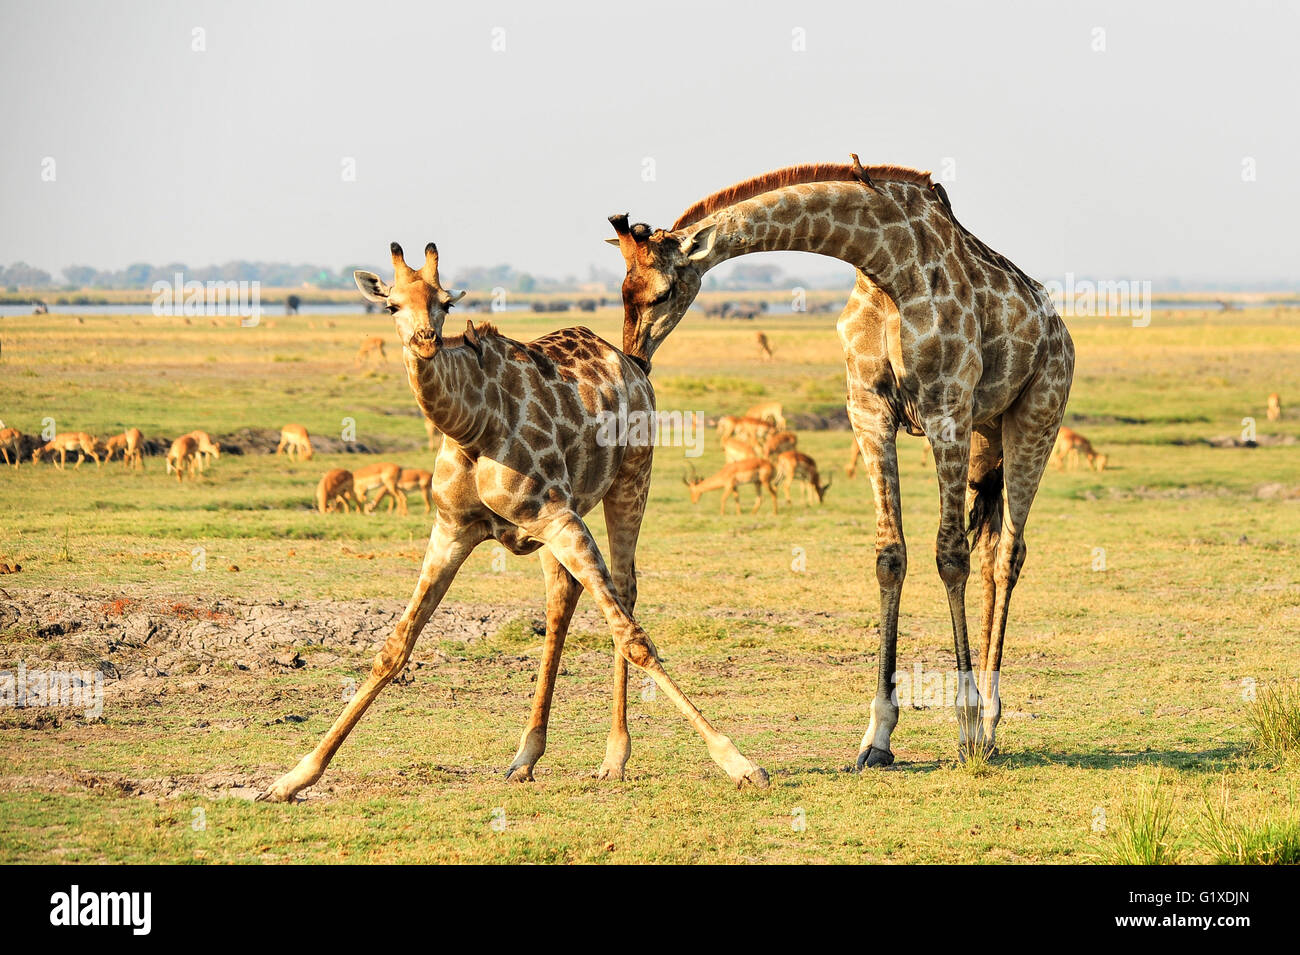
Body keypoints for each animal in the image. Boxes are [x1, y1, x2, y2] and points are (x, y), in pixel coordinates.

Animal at [259, 242, 767, 802]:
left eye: (444, 302)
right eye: (391, 305)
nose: (425, 340)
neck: (470, 426)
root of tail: (631, 363)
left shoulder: (557, 515)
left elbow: (633, 637)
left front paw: (740, 763)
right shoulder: (453, 530)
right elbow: (394, 648)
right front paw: (292, 778)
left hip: (631, 477)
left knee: (624, 592)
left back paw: (614, 756)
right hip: (563, 520)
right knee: (563, 599)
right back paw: (526, 757)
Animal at [609, 157, 1074, 765]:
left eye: (662, 292)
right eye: (624, 290)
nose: (635, 358)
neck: (886, 263)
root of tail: (1059, 330)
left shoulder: (946, 407)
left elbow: (950, 556)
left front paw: (967, 727)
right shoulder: (868, 409)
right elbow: (890, 556)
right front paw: (877, 736)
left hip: (1037, 416)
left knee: (1007, 556)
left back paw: (990, 721)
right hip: (987, 434)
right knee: (994, 542)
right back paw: (990, 726)